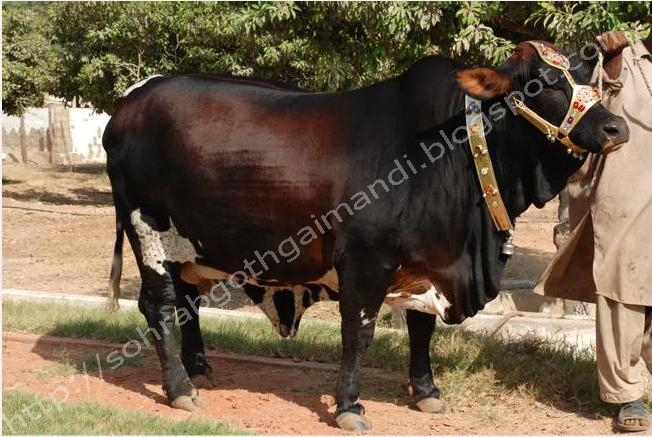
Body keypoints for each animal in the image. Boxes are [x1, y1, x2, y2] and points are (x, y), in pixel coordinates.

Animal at [103, 41, 628, 431]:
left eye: (592, 78)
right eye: (547, 84)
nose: (616, 127)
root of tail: (131, 100)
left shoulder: (427, 262)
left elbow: (420, 327)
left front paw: (426, 392)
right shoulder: (365, 262)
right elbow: (359, 331)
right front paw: (349, 406)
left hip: (188, 248)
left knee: (187, 304)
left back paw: (199, 371)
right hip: (150, 236)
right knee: (159, 307)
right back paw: (180, 389)